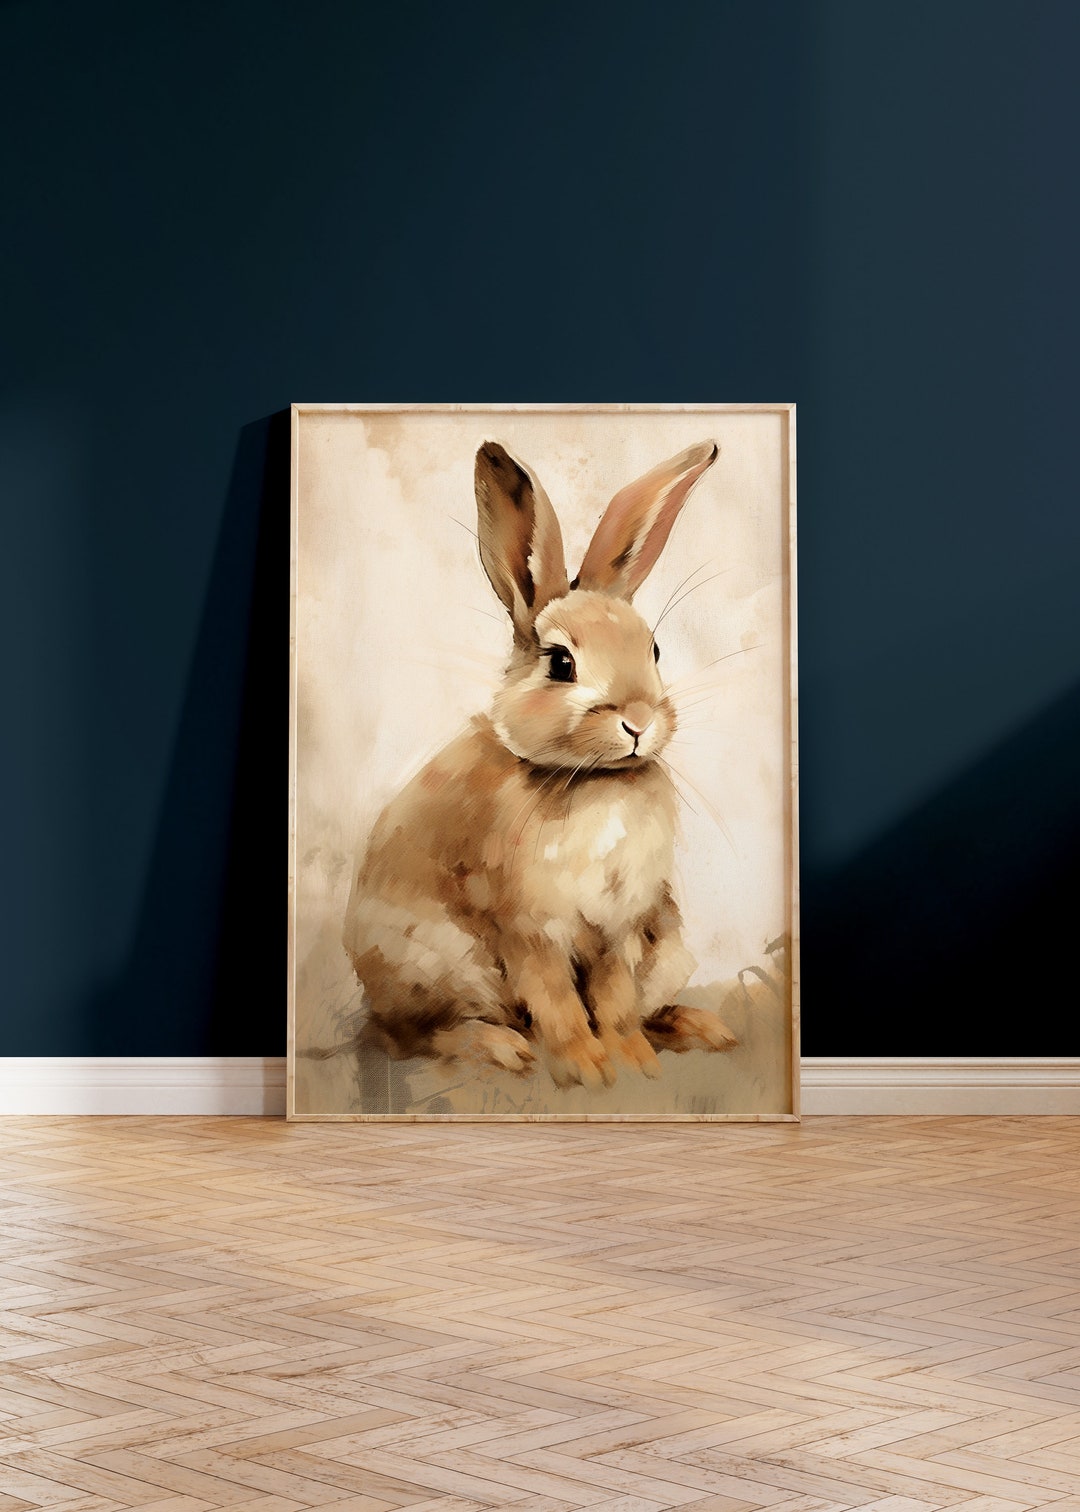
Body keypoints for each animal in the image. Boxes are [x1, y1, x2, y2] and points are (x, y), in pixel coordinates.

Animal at [342, 438, 737, 1089]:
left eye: (654, 649)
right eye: (560, 663)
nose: (638, 719)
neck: (593, 782)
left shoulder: (620, 931)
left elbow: (615, 1002)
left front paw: (633, 1063)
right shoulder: (529, 930)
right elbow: (559, 1003)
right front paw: (588, 1068)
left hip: (668, 949)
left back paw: (702, 1028)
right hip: (434, 964)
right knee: (416, 1036)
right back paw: (502, 1048)